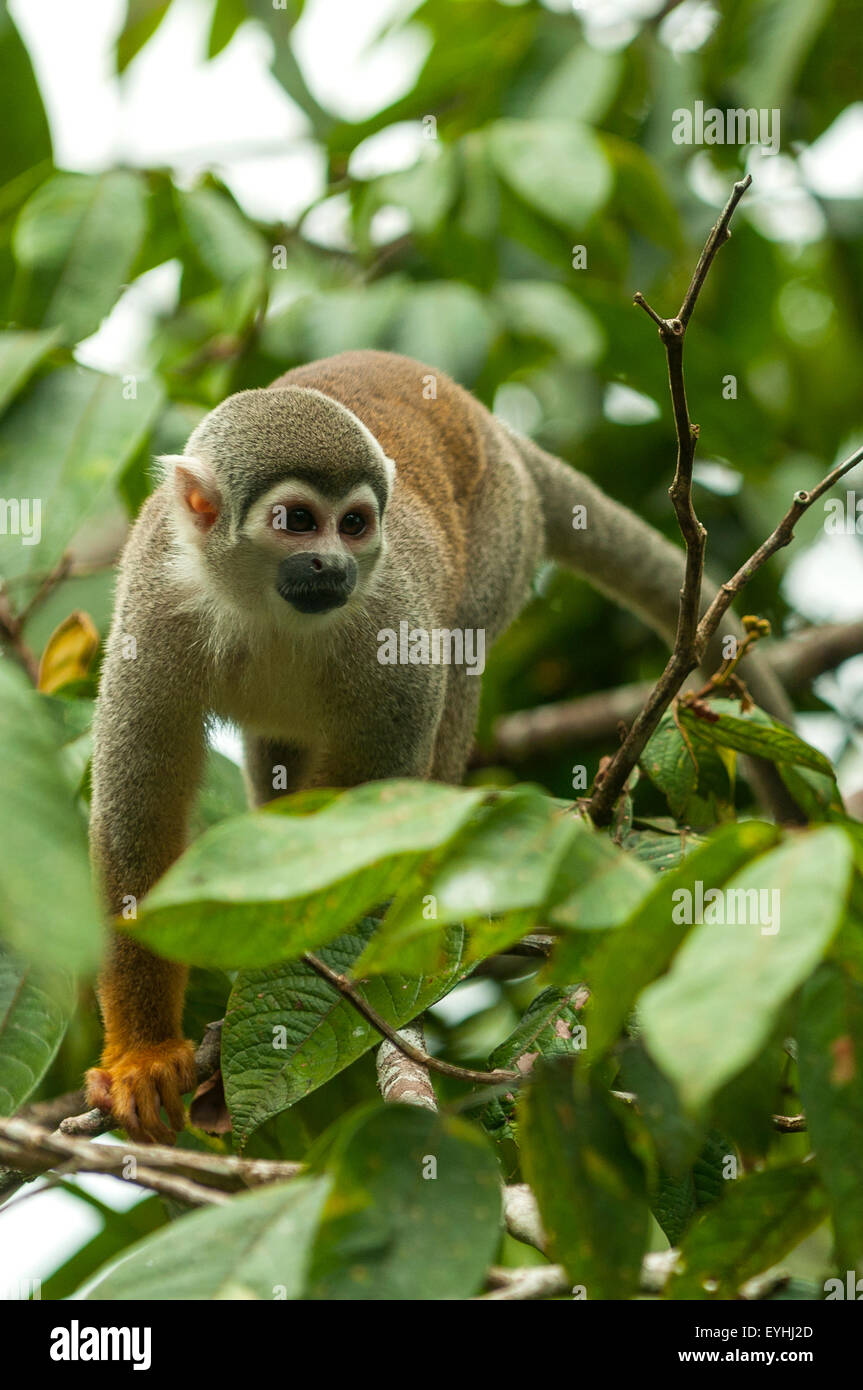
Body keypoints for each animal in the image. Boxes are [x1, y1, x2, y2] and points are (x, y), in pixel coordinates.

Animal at [84, 348, 792, 1143]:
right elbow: (138, 821)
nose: (333, 565)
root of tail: (499, 433)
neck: (258, 608)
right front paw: (145, 1057)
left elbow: (369, 801)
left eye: (353, 524)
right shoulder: (154, 601)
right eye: (298, 521)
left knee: (458, 662)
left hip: (503, 538)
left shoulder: (391, 617)